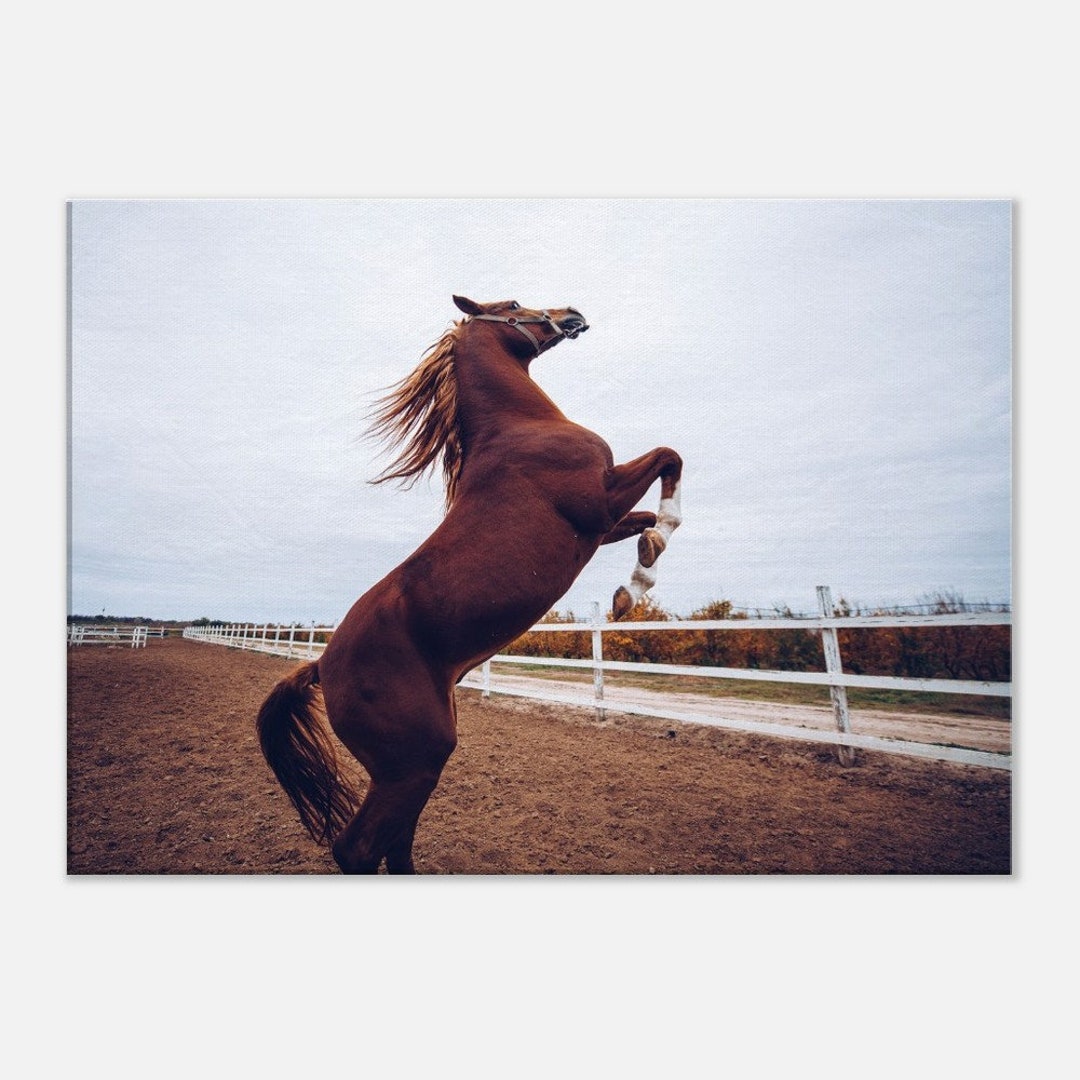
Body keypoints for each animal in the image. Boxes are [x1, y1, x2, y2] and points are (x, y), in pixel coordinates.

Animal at [257, 295, 682, 873]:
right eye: (514, 304)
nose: (570, 313)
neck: (522, 429)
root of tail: (321, 665)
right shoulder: (598, 502)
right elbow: (669, 460)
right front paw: (640, 574)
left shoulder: (602, 525)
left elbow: (648, 513)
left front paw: (635, 577)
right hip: (412, 764)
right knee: (359, 849)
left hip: (413, 769)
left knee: (395, 843)